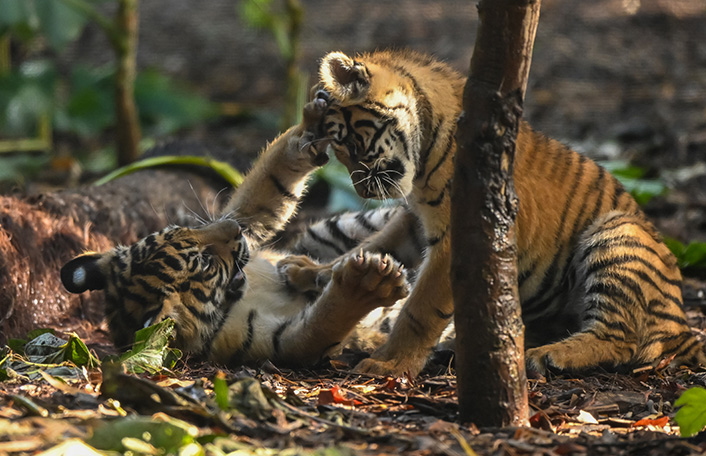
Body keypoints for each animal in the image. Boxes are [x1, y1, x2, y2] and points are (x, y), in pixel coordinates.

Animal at [60, 96, 409, 367]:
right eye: (204, 263)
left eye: (182, 229)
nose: (232, 227)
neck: (233, 297)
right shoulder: (281, 341)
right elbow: (325, 321)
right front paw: (367, 285)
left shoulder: (250, 233)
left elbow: (268, 188)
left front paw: (311, 127)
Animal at [277, 49, 706, 376]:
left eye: (350, 144)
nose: (363, 190)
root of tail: (683, 324)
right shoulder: (413, 222)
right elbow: (366, 248)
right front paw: (310, 270)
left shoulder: (457, 236)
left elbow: (419, 310)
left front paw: (389, 365)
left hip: (618, 232)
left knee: (623, 339)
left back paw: (547, 356)